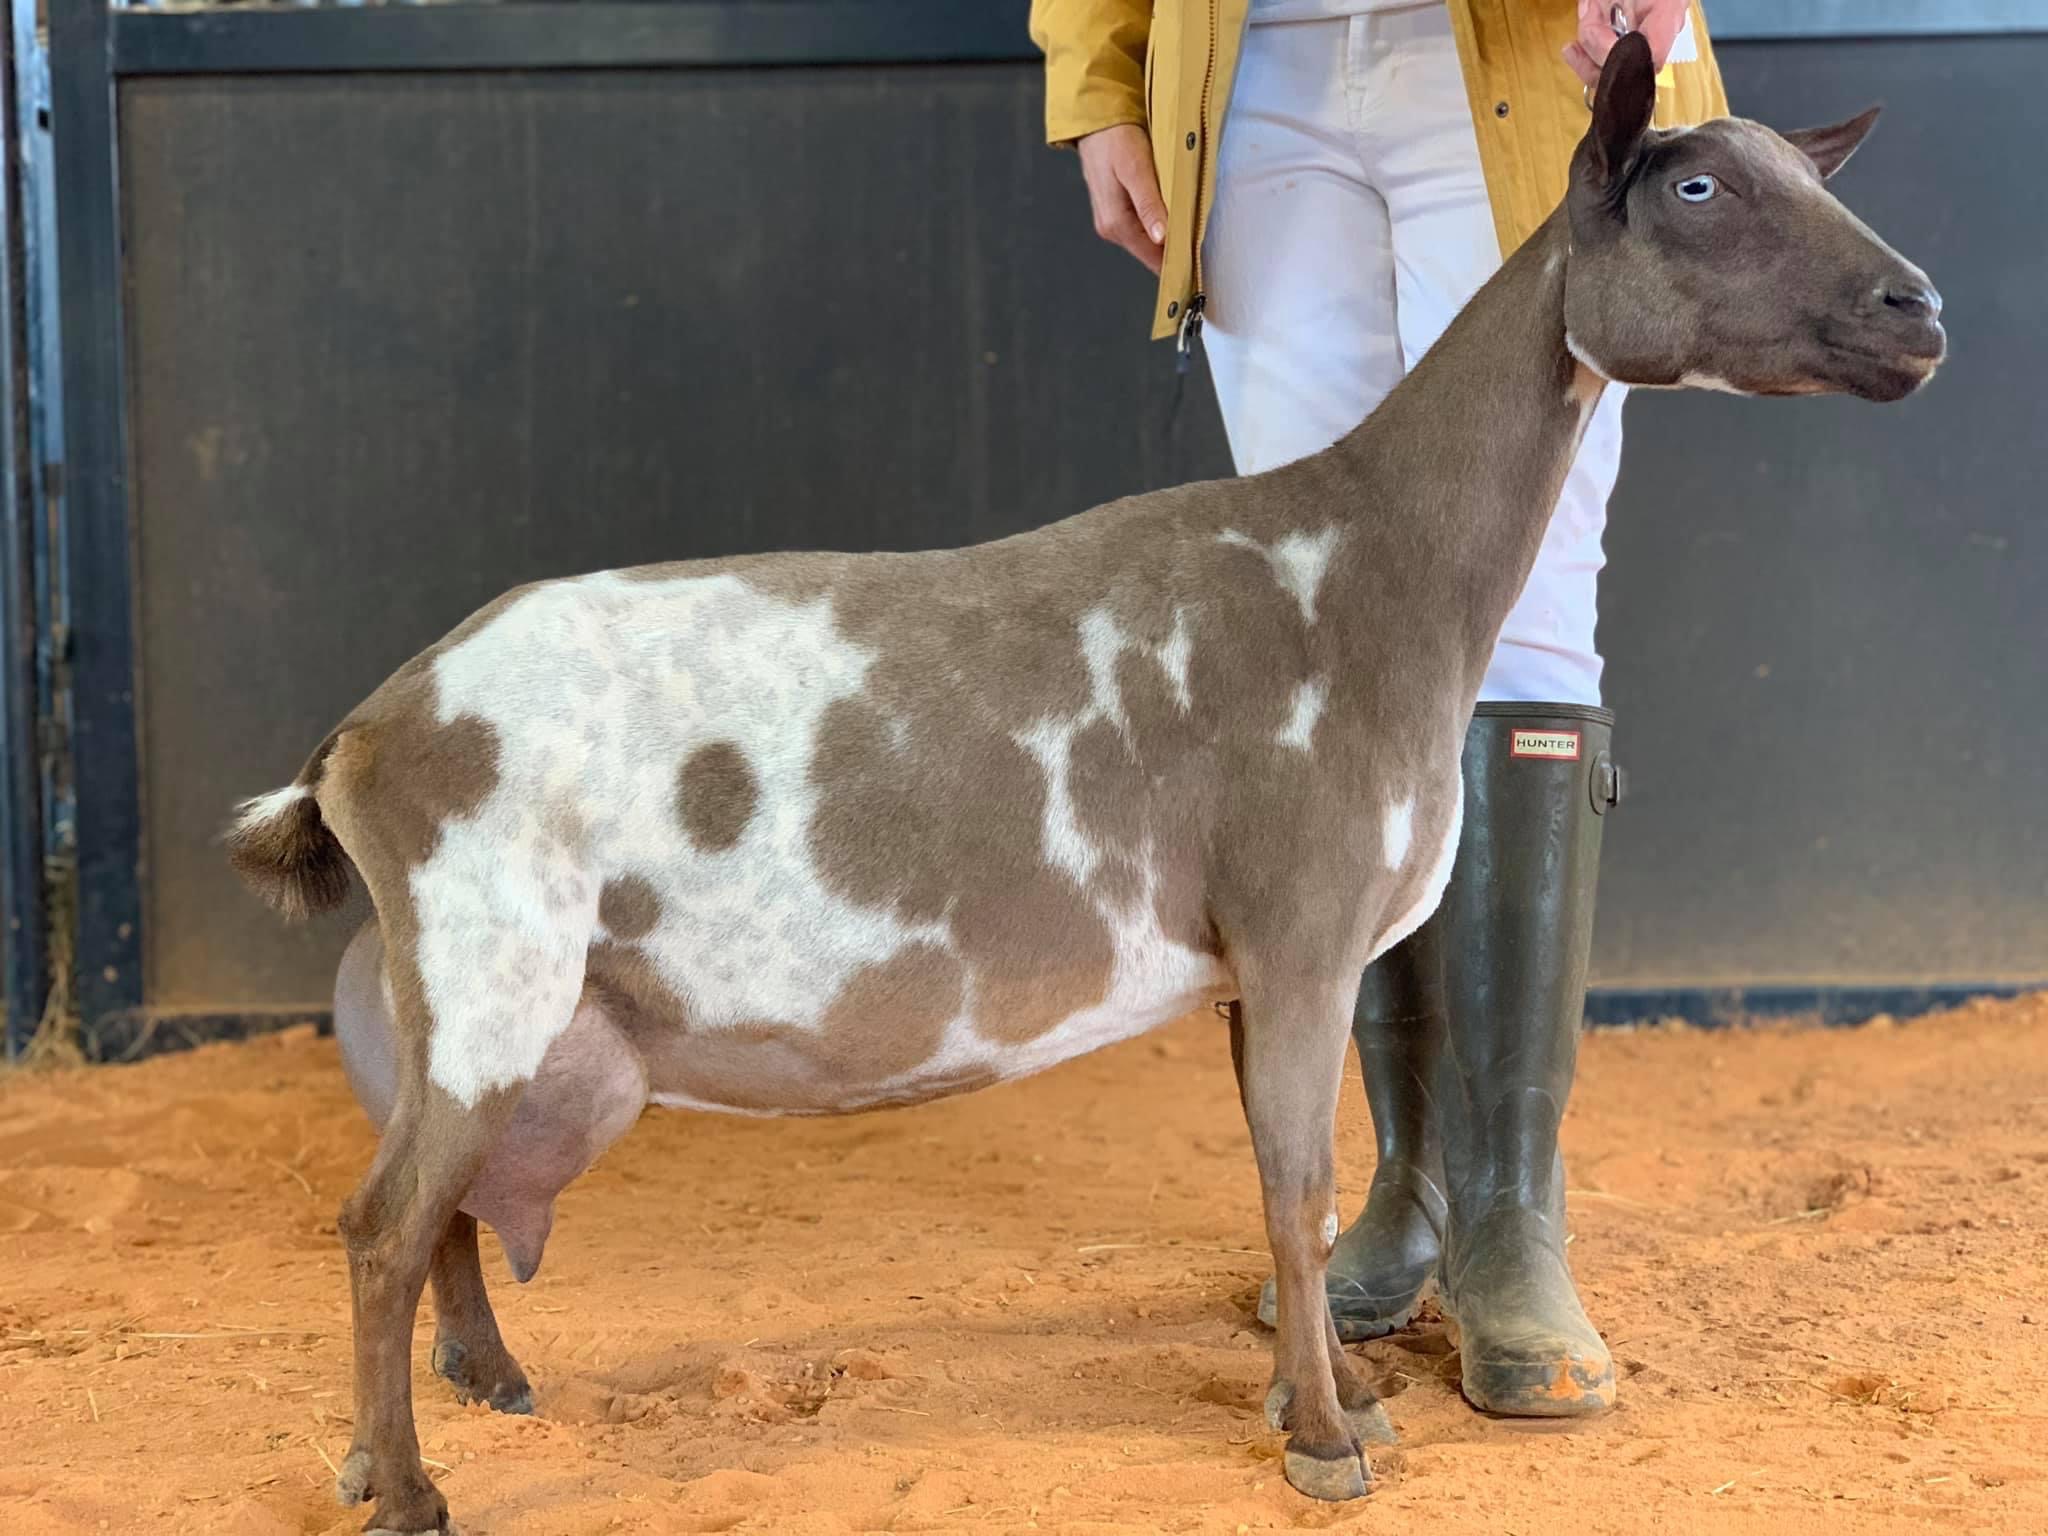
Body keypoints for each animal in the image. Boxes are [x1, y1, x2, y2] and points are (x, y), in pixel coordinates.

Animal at [229, 38, 1941, 1527]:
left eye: (1804, 173)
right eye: (1697, 189)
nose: (1917, 307)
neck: (1368, 568)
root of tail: (367, 730)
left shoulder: (1266, 959)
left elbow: (1288, 1186)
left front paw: (1331, 1401)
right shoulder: (1303, 931)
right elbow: (1295, 1183)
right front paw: (1329, 1442)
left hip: (500, 1012)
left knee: (446, 1209)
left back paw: (471, 1393)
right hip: (492, 960)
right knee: (381, 1223)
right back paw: (405, 1491)